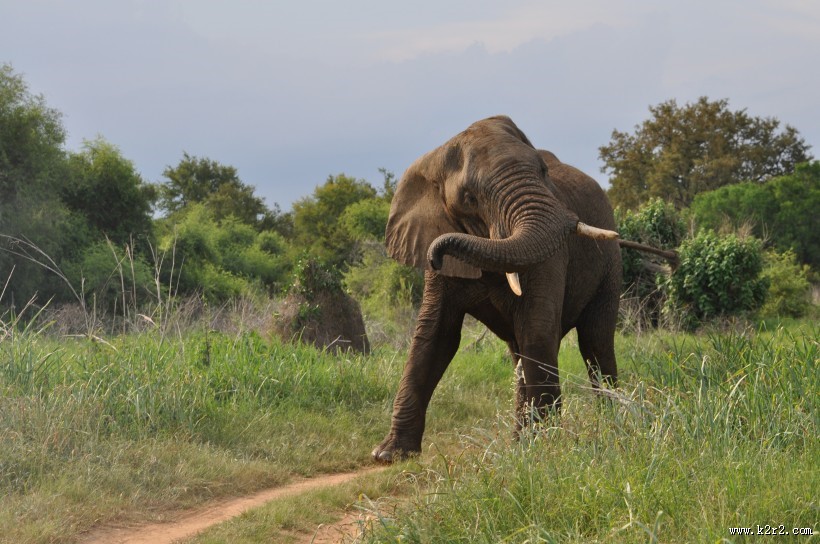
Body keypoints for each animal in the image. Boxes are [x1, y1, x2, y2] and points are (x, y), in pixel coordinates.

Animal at [372, 115, 623, 463]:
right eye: (470, 198)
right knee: (521, 352)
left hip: (610, 268)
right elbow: (435, 337)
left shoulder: (552, 256)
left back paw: (610, 423)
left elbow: (538, 330)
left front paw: (546, 448)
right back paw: (520, 441)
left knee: (595, 341)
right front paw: (389, 454)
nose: (436, 254)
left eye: (543, 171)